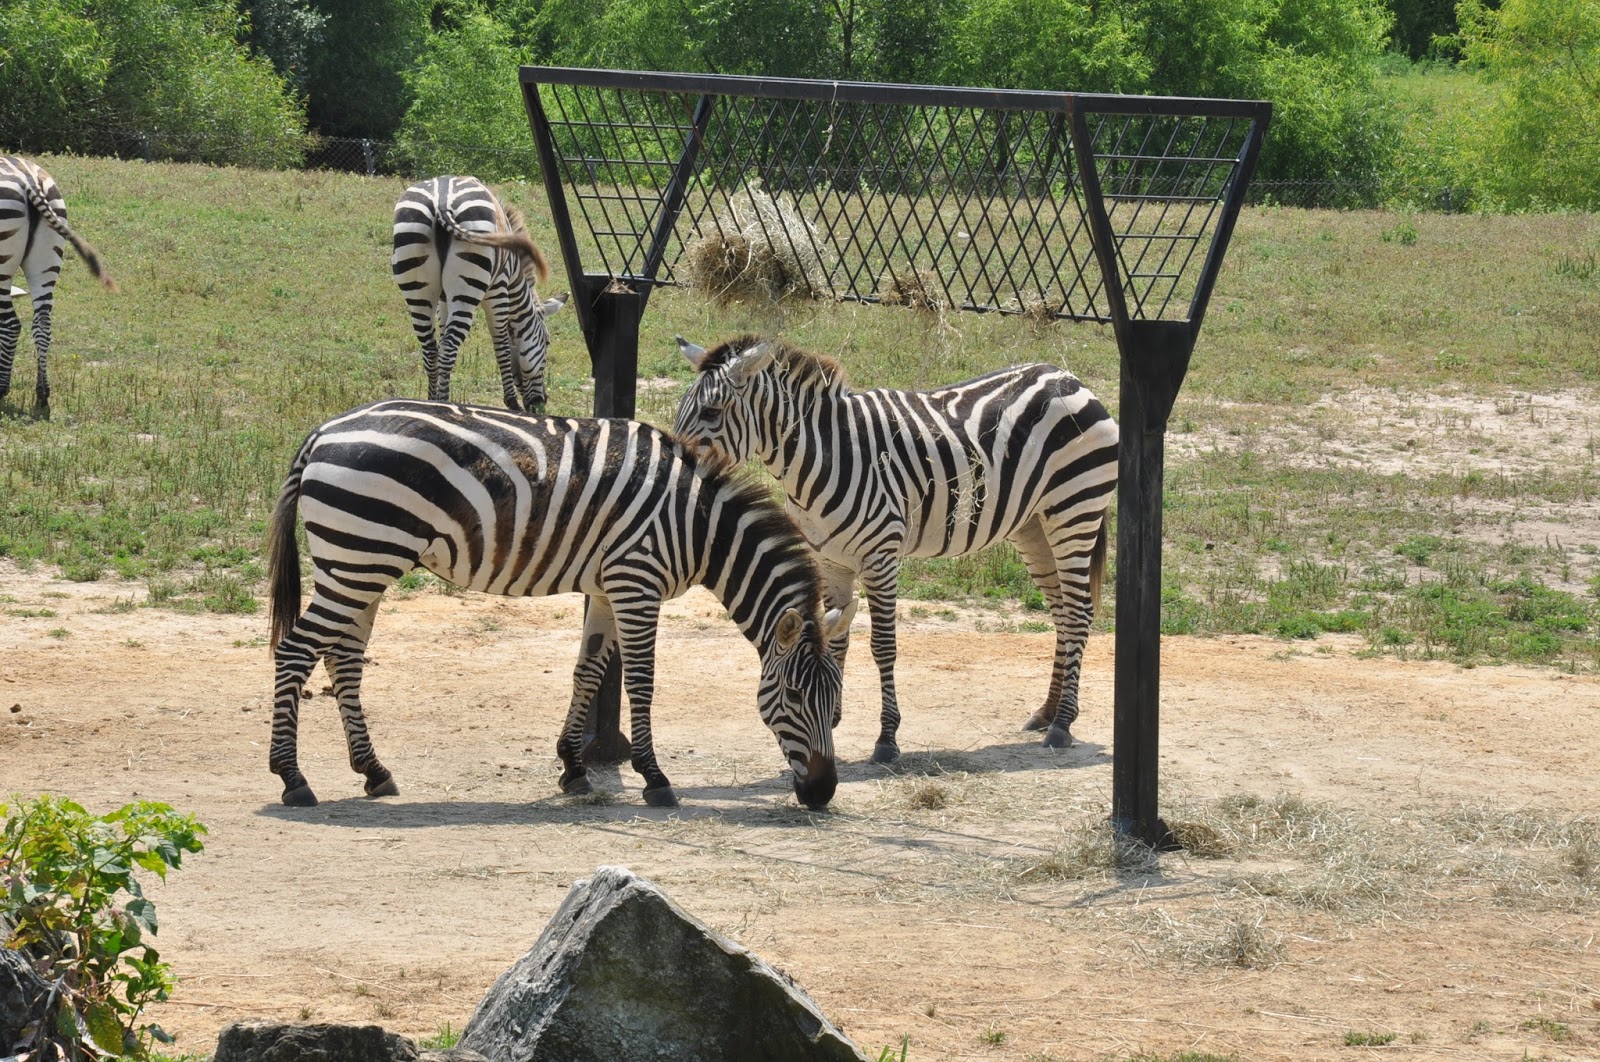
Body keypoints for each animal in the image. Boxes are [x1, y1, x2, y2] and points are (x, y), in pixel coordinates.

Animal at [0, 156, 116, 408]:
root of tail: (29, 180)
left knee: (11, 324)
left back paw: (2, 389)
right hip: (48, 254)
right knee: (42, 323)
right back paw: (42, 393)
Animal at [266, 398, 854, 810]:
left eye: (836, 703)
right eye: (795, 696)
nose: (823, 793)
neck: (700, 525)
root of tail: (324, 431)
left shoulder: (607, 586)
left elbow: (588, 671)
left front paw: (572, 766)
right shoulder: (637, 581)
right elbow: (641, 681)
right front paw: (654, 777)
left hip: (359, 564)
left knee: (342, 659)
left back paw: (374, 771)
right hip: (360, 558)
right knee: (295, 651)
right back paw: (293, 779)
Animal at [391, 176, 566, 412]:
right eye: (547, 343)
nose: (541, 403)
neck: (515, 274)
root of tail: (441, 201)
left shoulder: (444, 300)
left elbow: (443, 334)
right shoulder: (499, 289)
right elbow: (501, 344)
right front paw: (512, 402)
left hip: (416, 281)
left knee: (431, 350)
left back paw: (431, 402)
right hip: (469, 283)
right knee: (448, 348)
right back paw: (442, 404)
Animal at [673, 334, 1119, 763]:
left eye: (711, 412)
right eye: (680, 410)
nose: (677, 471)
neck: (823, 458)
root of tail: (1068, 377)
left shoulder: (881, 557)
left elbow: (883, 647)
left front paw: (886, 739)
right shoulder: (830, 561)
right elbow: (838, 638)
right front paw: (830, 715)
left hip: (1074, 509)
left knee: (1079, 612)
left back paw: (1062, 724)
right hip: (1033, 525)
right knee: (1061, 613)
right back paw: (1046, 712)